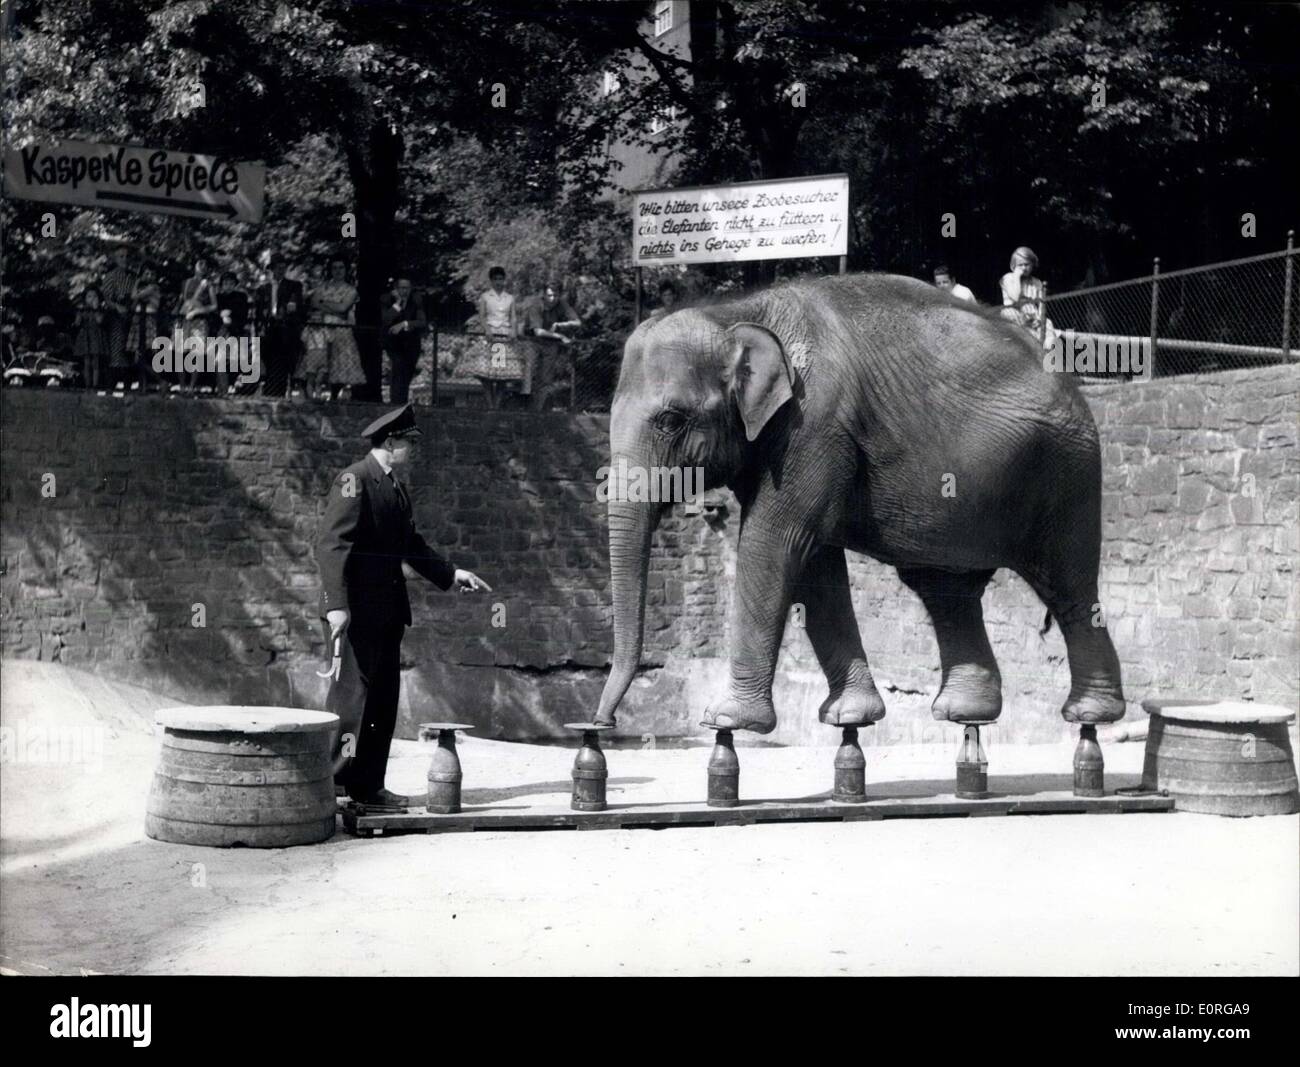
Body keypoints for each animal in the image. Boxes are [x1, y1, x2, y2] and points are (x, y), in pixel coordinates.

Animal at [593, 272, 1125, 735]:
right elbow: (814, 561)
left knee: (1067, 585)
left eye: (670, 419)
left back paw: (1089, 715)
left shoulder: (814, 425)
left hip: (1068, 472)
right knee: (947, 590)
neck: (737, 313)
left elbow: (776, 543)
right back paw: (962, 713)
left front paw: (727, 720)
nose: (602, 724)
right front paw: (849, 717)